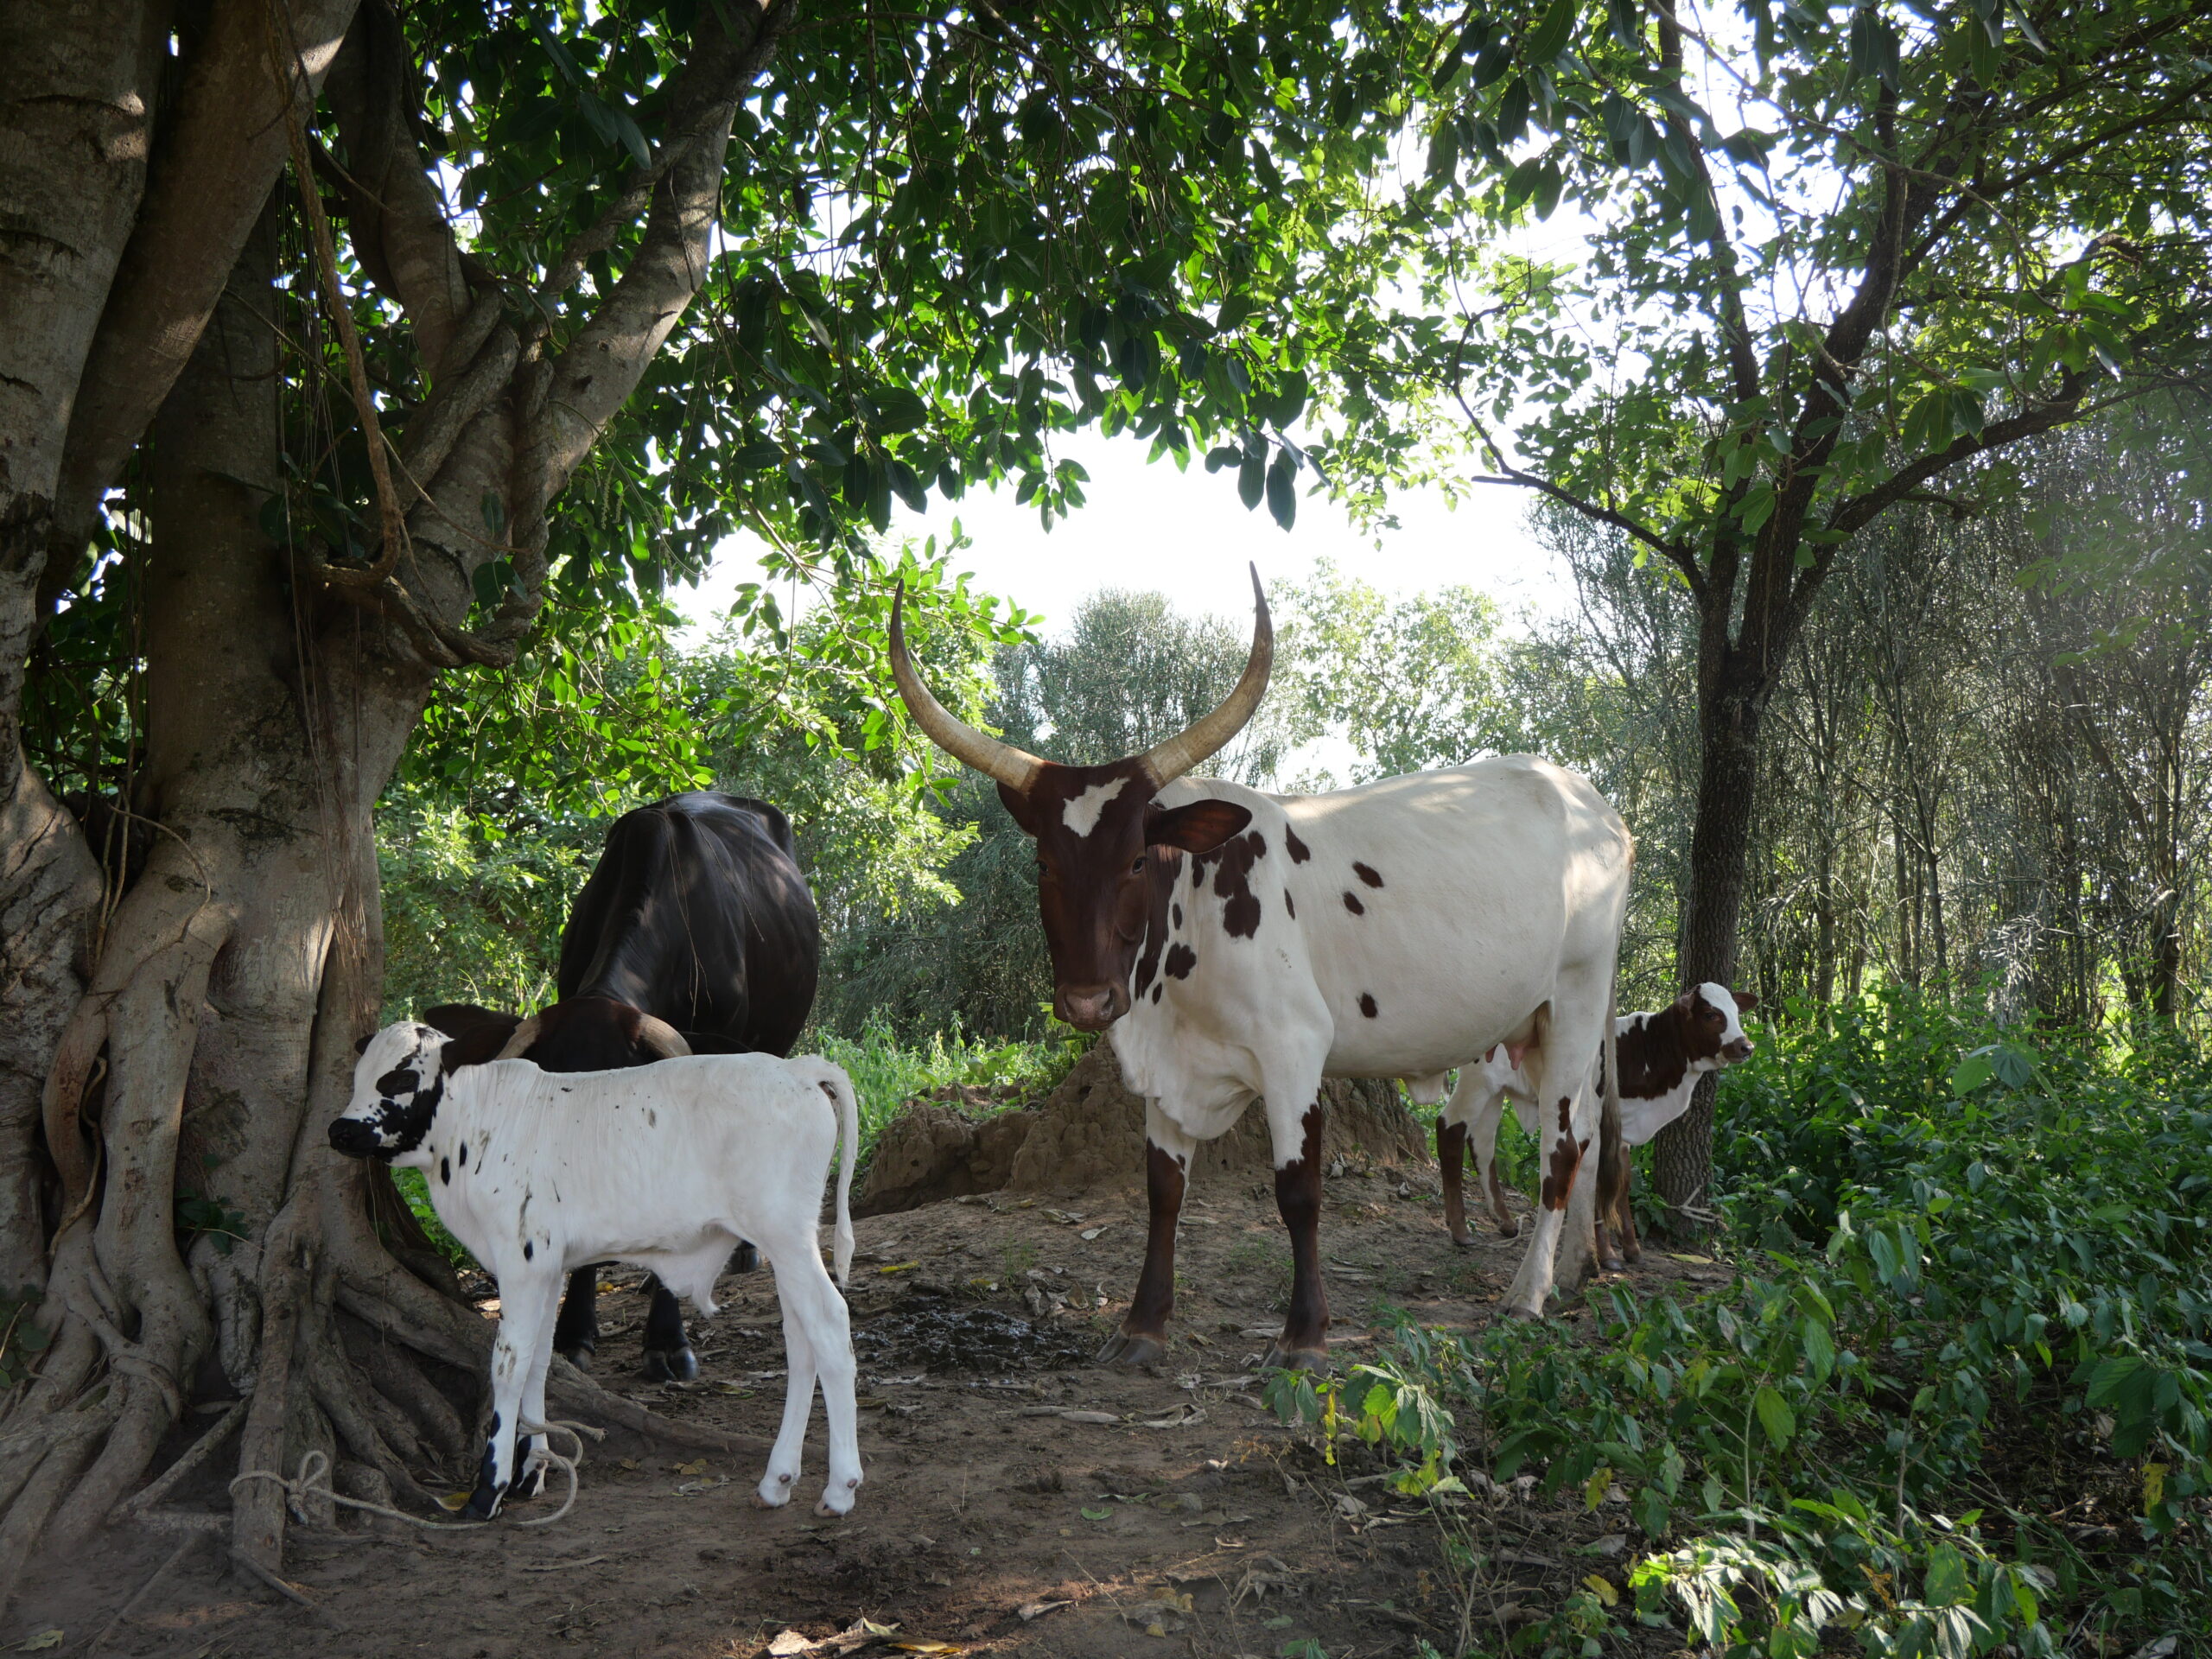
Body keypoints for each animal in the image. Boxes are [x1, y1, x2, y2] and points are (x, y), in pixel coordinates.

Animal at [329, 1022, 863, 1520]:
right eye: (358, 1075)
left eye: (401, 1077)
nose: (340, 1130)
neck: (476, 1127)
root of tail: (797, 1069)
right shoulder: (548, 1268)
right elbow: (539, 1360)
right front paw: (532, 1470)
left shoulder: (521, 1262)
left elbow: (507, 1364)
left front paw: (489, 1489)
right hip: (787, 1243)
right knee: (801, 1340)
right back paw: (778, 1480)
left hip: (785, 1234)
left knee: (830, 1322)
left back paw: (840, 1489)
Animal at [887, 567, 1632, 1349]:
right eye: (1042, 864)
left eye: (1135, 861)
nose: (1089, 1000)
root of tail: (1595, 806)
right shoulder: (1167, 1067)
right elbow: (1163, 1192)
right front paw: (1143, 1324)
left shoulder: (1295, 1050)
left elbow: (1297, 1192)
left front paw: (1304, 1334)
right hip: (1541, 1026)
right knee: (1584, 1132)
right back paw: (1576, 1268)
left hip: (1578, 998)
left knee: (1561, 1150)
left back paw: (1528, 1292)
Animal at [1432, 983, 1758, 1266]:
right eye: (1711, 1014)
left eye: (1736, 1012)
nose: (1747, 1047)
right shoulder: (1602, 1122)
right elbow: (1601, 1182)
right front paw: (1608, 1254)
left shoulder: (1623, 1127)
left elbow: (1622, 1183)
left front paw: (1632, 1249)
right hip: (1477, 1085)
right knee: (1450, 1129)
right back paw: (1460, 1231)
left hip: (1494, 1092)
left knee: (1483, 1144)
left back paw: (1506, 1222)